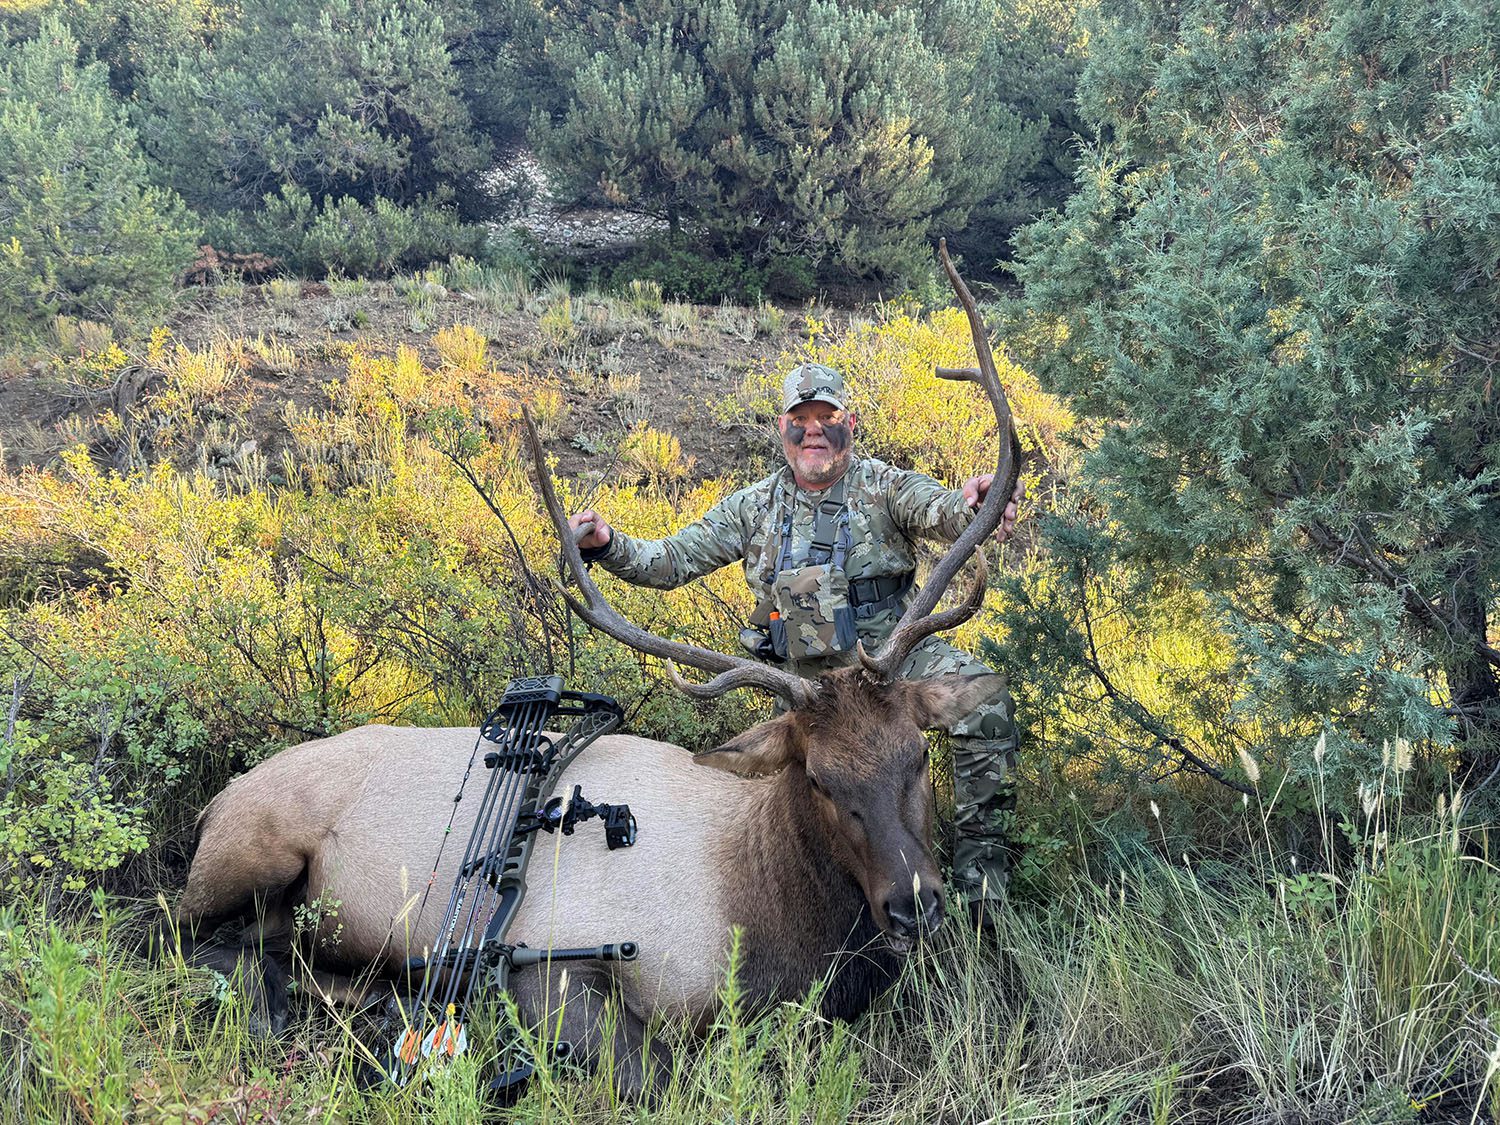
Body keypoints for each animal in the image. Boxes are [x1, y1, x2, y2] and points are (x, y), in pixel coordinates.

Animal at [168, 244, 1020, 1097]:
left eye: (918, 755)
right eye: (816, 775)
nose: (913, 905)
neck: (762, 914)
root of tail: (213, 800)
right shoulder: (544, 955)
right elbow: (650, 1072)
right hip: (248, 851)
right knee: (183, 932)